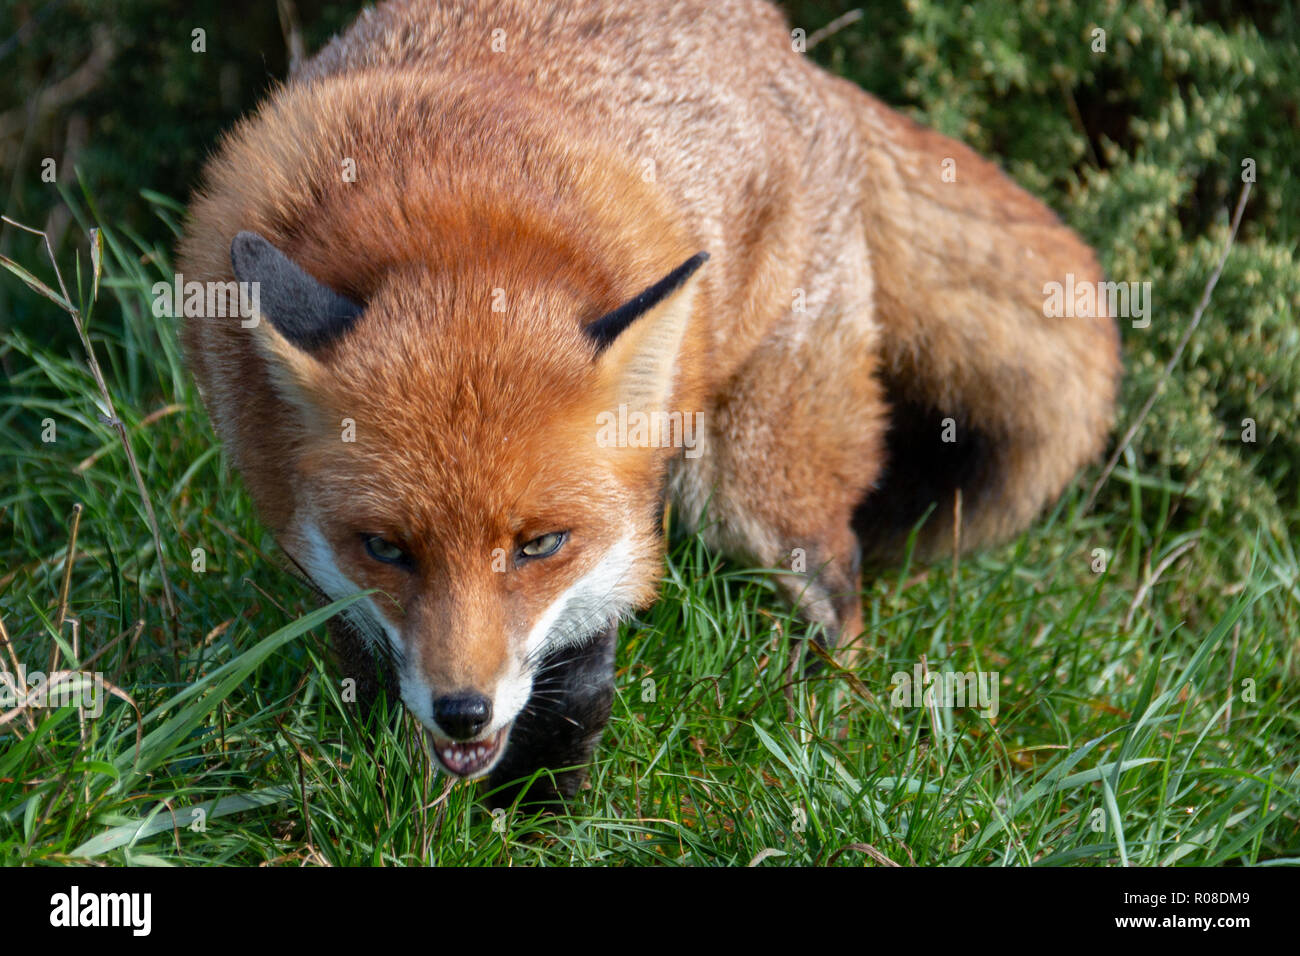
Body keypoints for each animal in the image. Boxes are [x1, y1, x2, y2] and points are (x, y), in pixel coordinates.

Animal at [178, 0, 1120, 806]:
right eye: (385, 548)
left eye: (540, 546)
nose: (463, 711)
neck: (454, 209)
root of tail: (789, 51)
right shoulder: (307, 539)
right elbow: (362, 652)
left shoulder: (622, 526)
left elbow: (577, 672)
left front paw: (537, 815)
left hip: (743, 485)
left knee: (839, 574)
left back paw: (819, 715)